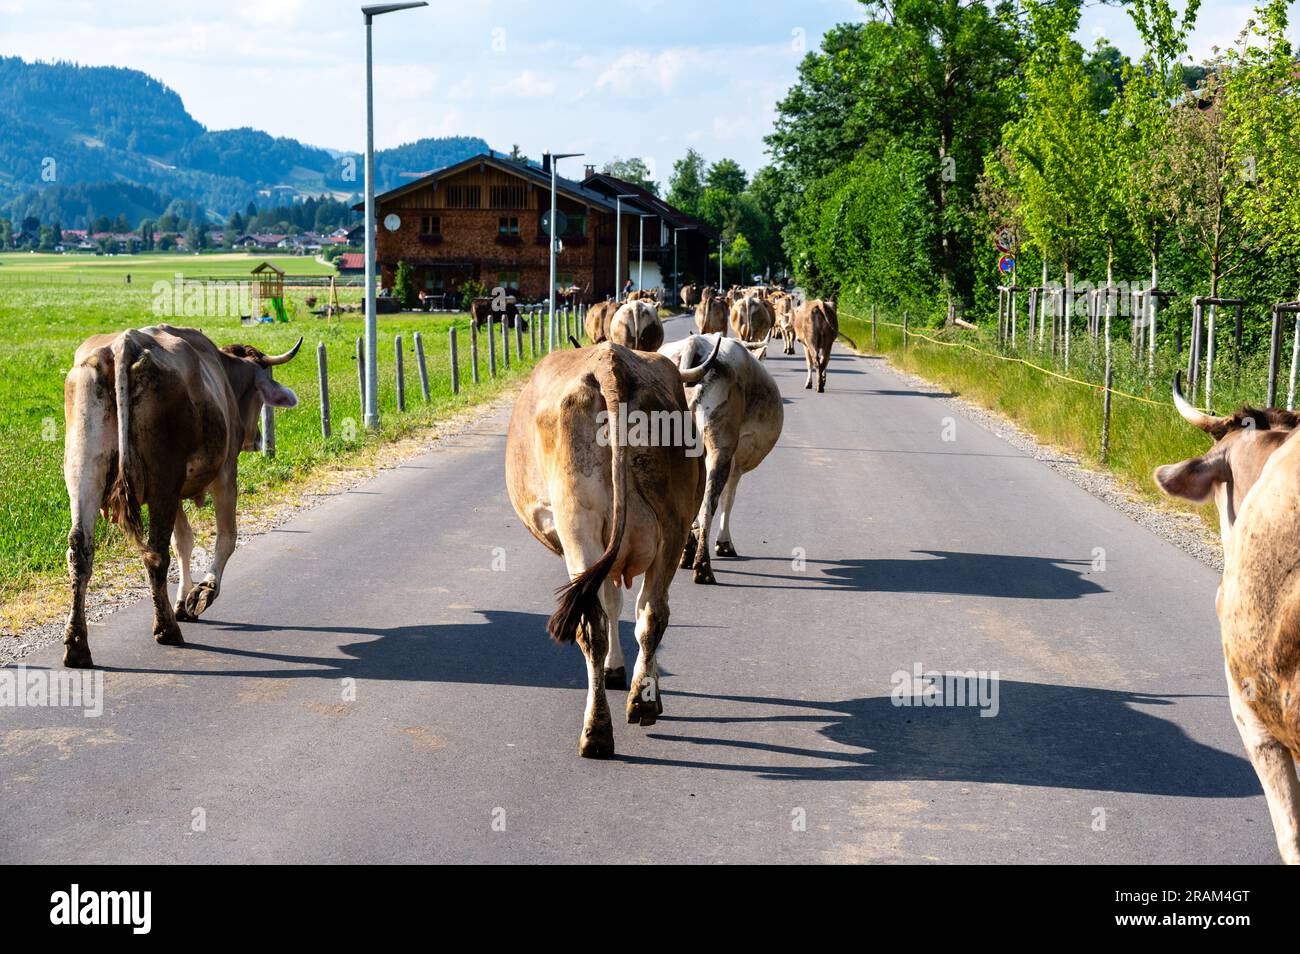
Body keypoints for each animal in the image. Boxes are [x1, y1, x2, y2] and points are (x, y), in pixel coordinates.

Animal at [61, 325, 301, 668]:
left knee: (80, 550)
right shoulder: (225, 474)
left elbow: (184, 541)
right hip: (163, 479)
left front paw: (182, 598)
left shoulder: (173, 496)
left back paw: (78, 645)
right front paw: (202, 592)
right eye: (259, 393)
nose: (256, 439)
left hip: (84, 473)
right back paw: (166, 629)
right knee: (155, 554)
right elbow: (226, 537)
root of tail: (125, 344)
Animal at [504, 339, 719, 757]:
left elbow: (610, 605)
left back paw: (601, 728)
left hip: (578, 528)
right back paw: (636, 707)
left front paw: (613, 670)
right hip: (670, 526)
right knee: (650, 614)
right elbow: (618, 606)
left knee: (596, 625)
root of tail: (611, 363)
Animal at [660, 334, 784, 584]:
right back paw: (703, 567)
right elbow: (730, 497)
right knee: (709, 501)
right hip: (721, 444)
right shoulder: (736, 463)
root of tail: (695, 342)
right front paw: (724, 544)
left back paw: (687, 554)